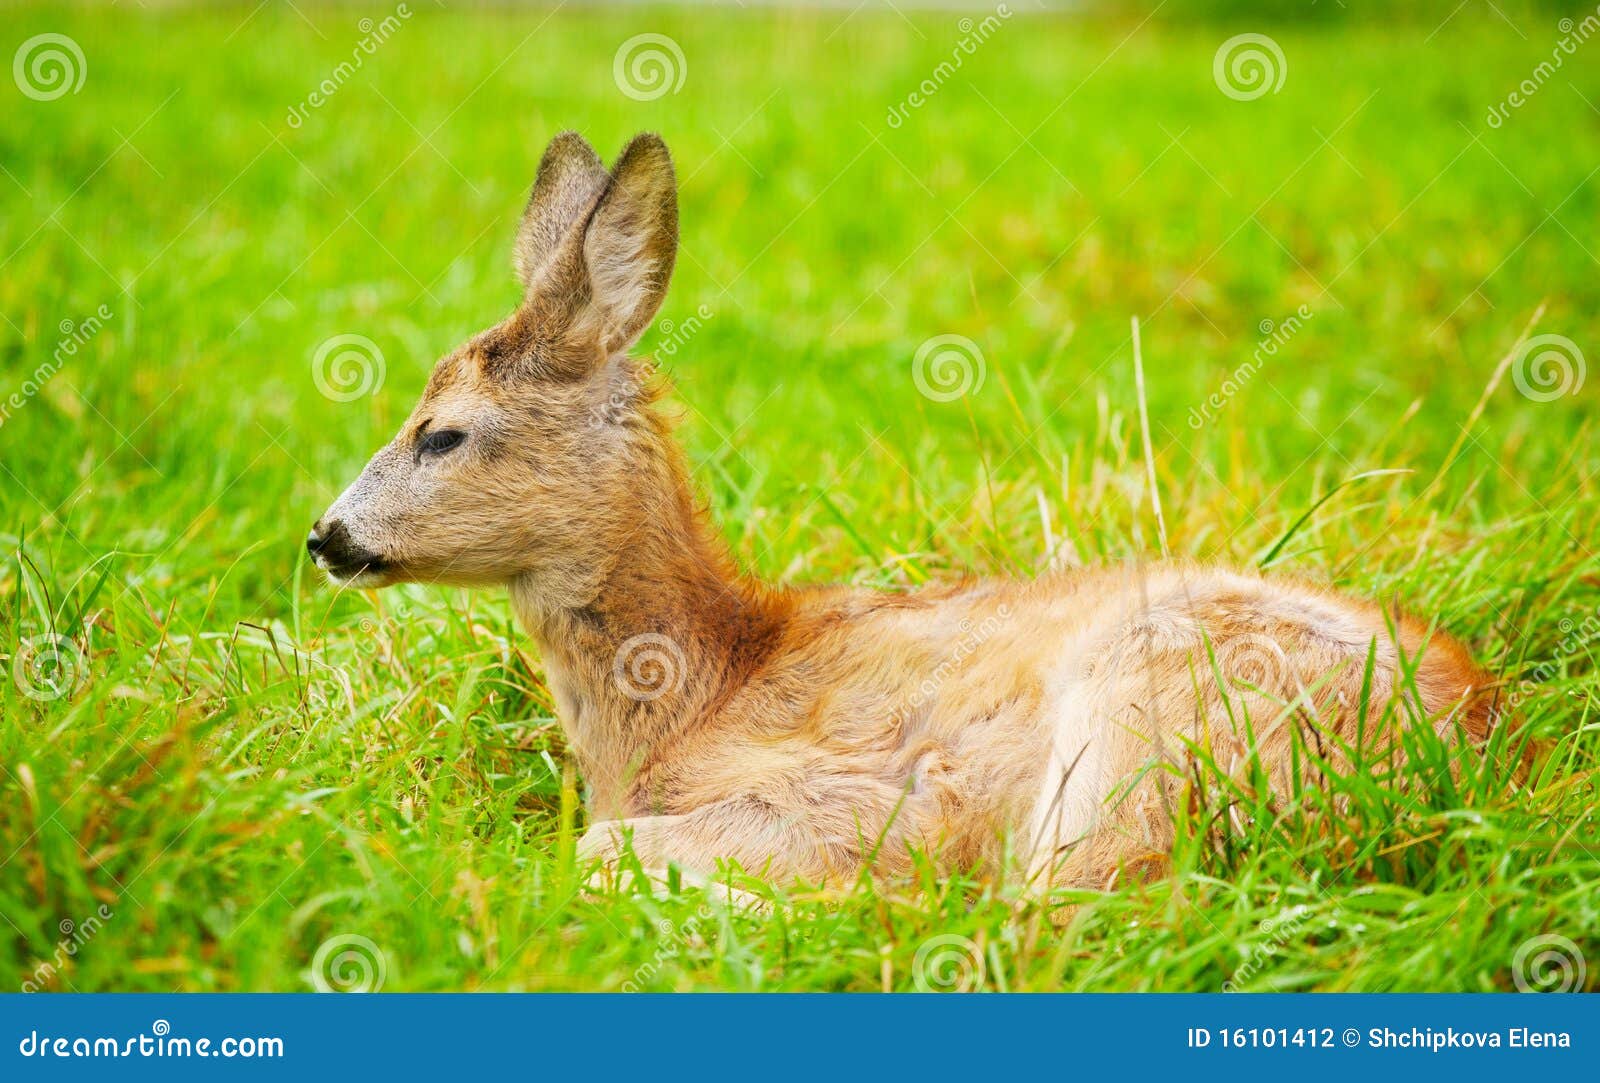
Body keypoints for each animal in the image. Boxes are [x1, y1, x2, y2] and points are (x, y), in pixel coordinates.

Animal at [308, 131, 1500, 901]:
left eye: (442, 433)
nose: (325, 537)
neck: (697, 690)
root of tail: (1483, 737)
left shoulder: (878, 786)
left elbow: (609, 852)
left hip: (1153, 707)